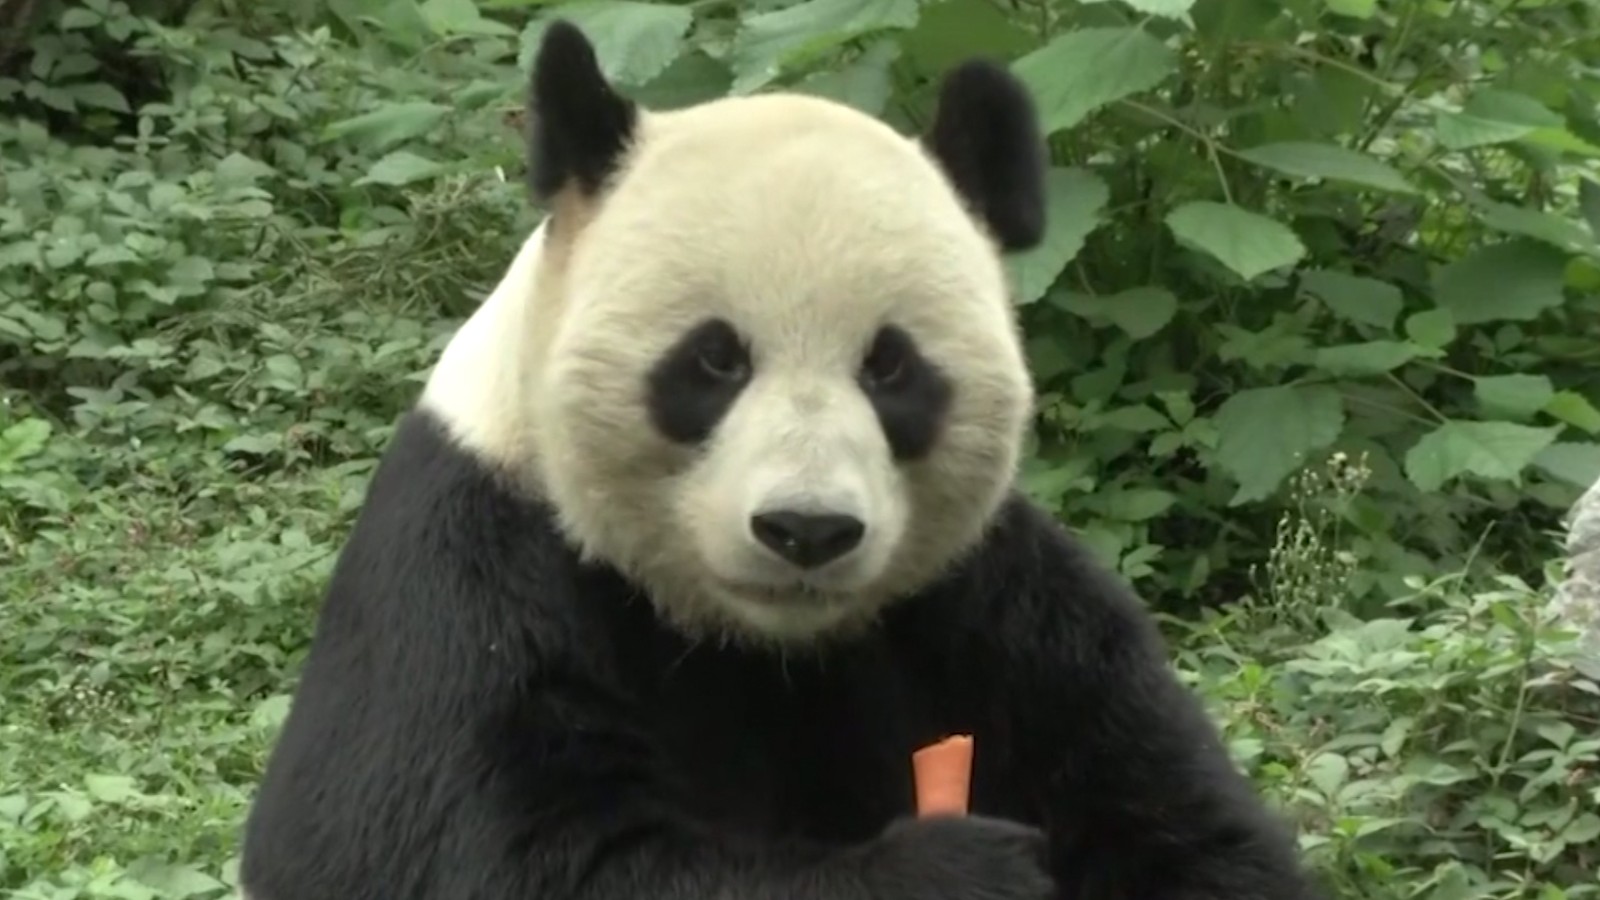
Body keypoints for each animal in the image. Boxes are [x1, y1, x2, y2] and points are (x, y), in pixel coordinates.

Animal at [239, 20, 1321, 900]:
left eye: (891, 366)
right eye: (714, 359)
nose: (807, 530)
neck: (762, 642)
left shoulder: (991, 595)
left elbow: (1181, 822)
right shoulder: (468, 567)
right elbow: (453, 846)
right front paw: (952, 867)